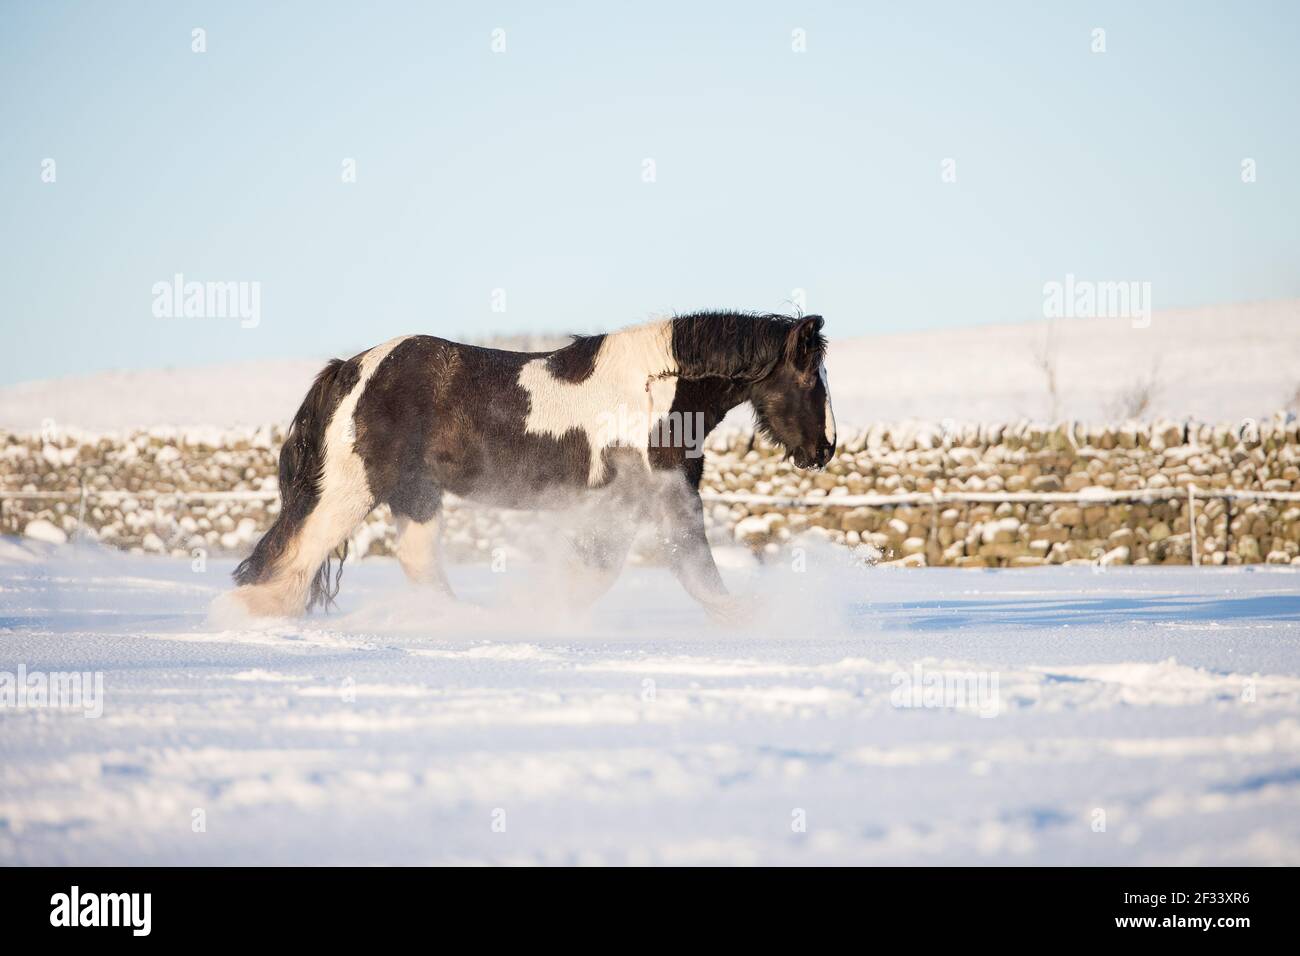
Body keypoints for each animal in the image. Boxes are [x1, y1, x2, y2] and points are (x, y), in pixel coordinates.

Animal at [229, 311, 835, 620]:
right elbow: (693, 569)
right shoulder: (660, 498)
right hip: (352, 489)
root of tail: (349, 369)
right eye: (810, 374)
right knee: (294, 555)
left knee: (417, 565)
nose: (825, 448)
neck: (652, 392)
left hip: (416, 496)